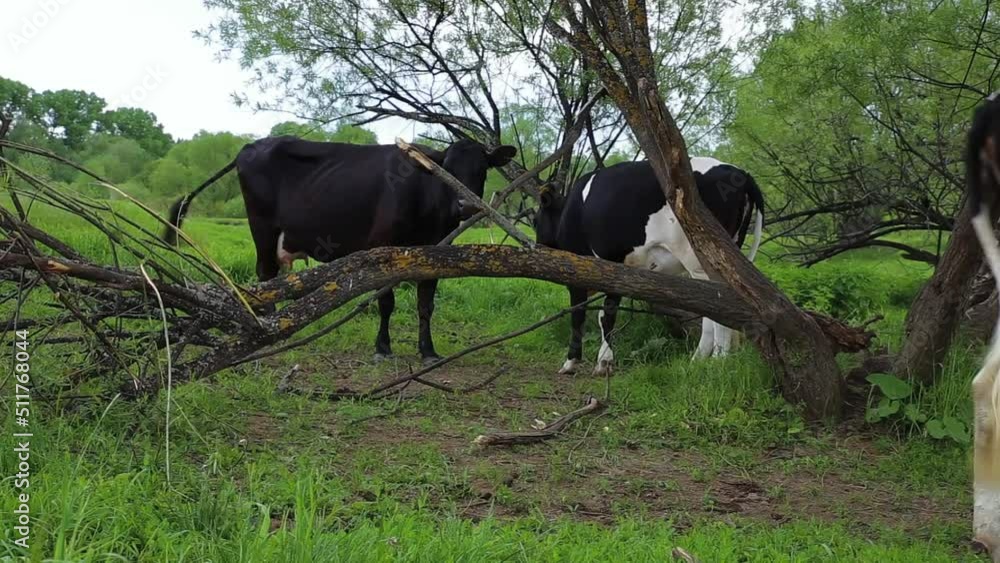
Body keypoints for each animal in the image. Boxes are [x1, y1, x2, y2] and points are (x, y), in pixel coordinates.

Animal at [162, 136, 517, 364]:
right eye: (447, 170)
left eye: (482, 169)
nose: (467, 204)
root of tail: (252, 145)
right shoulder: (381, 247)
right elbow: (385, 302)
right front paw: (382, 348)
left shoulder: (436, 251)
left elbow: (425, 305)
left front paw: (427, 351)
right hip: (262, 227)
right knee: (265, 275)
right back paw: (269, 329)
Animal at [533, 157, 764, 376]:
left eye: (535, 221)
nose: (536, 244)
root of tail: (741, 173)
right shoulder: (618, 266)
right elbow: (604, 315)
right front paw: (604, 362)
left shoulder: (587, 268)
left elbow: (583, 315)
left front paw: (575, 362)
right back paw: (698, 360)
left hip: (702, 261)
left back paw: (718, 361)